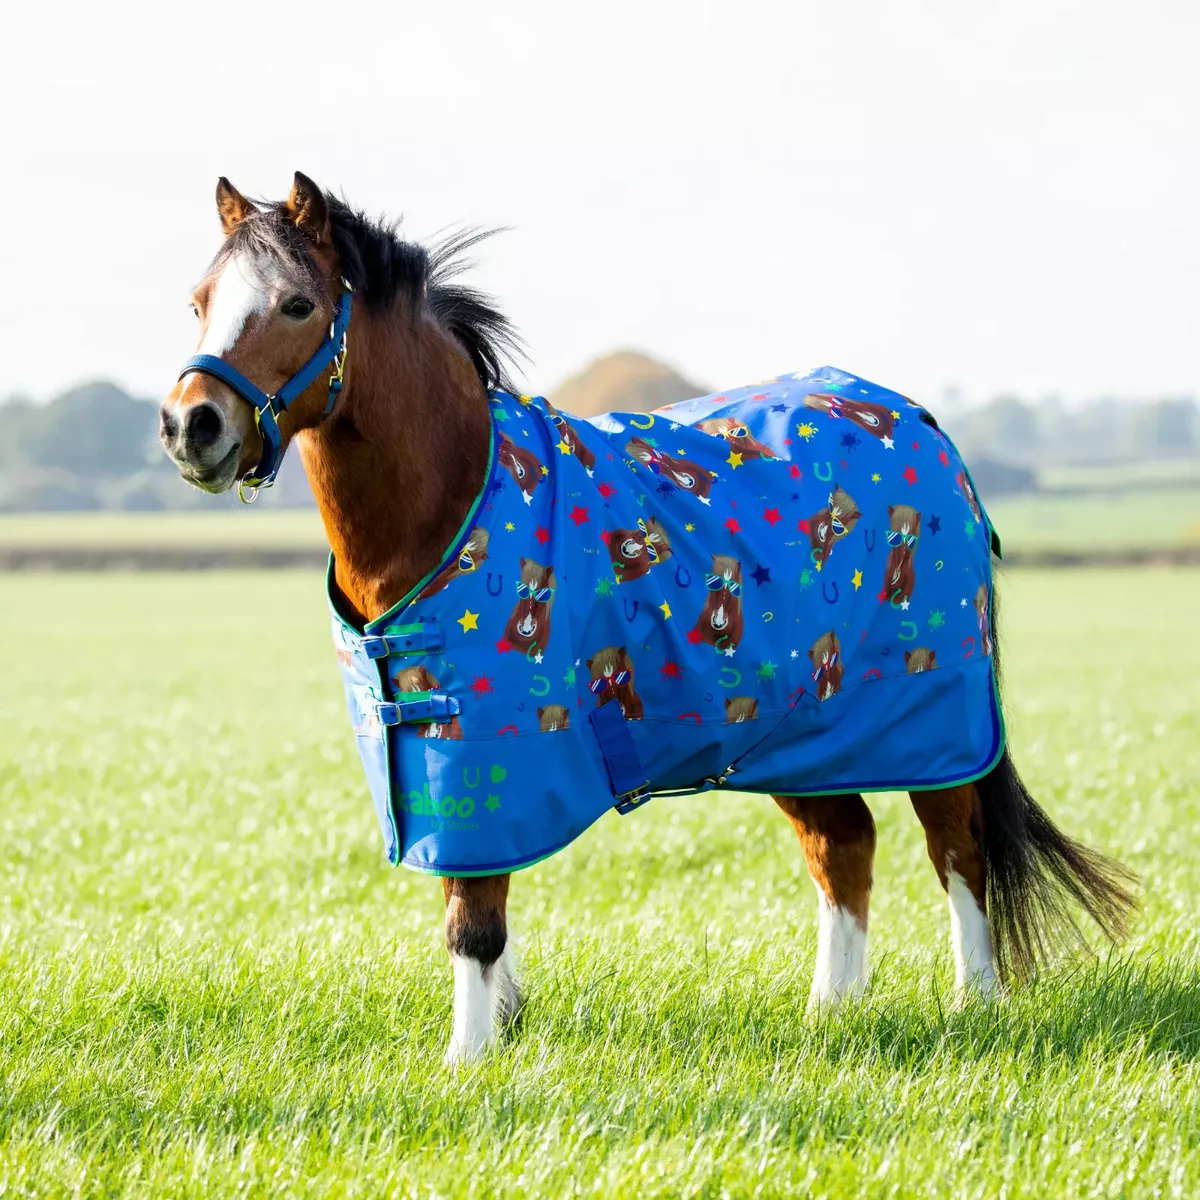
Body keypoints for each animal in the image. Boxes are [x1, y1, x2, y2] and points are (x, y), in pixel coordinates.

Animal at [160, 172, 1137, 1065]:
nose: (189, 425)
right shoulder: (446, 765)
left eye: (297, 303)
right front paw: (502, 1030)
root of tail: (922, 422)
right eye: (201, 301)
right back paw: (832, 1014)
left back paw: (977, 1004)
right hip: (793, 726)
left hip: (933, 719)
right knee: (844, 844)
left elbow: (474, 920)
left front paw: (467, 1063)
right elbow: (474, 903)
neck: (458, 500)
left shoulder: (489, 753)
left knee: (955, 845)